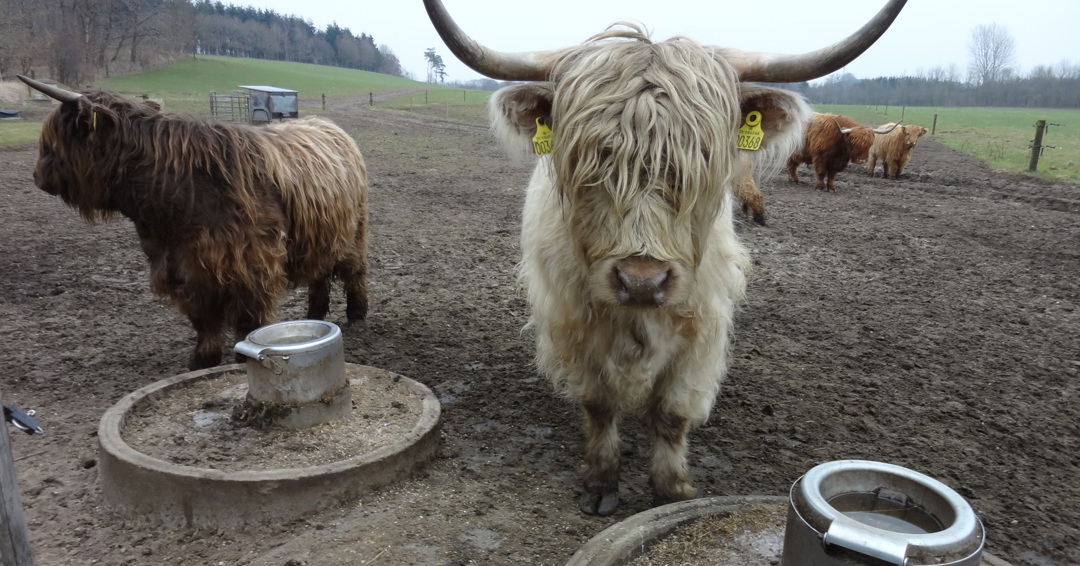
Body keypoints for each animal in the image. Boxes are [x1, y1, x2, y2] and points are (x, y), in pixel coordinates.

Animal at [18, 76, 370, 371]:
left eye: (53, 138)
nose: (37, 176)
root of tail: (326, 124)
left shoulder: (250, 263)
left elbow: (248, 319)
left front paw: (243, 356)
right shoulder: (183, 268)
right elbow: (202, 319)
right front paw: (203, 359)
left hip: (354, 232)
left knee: (354, 270)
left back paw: (357, 313)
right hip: (320, 235)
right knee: (319, 273)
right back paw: (315, 313)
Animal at [424, 0, 907, 515]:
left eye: (702, 159)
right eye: (593, 158)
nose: (642, 280)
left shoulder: (700, 329)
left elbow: (673, 415)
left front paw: (670, 491)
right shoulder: (574, 324)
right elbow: (598, 405)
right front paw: (602, 482)